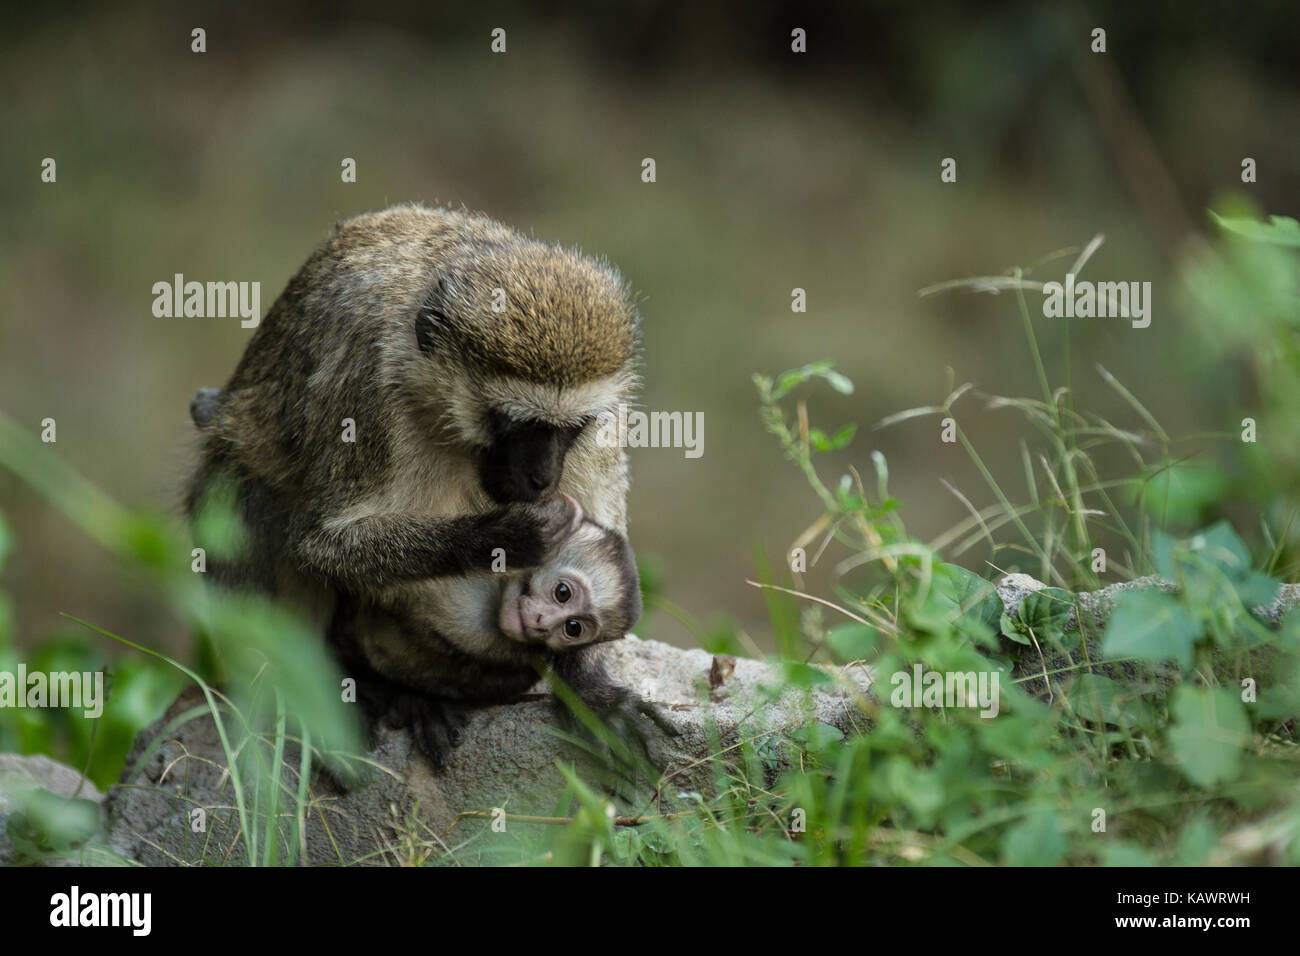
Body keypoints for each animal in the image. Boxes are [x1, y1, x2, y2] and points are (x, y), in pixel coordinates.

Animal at [185, 204, 675, 769]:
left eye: (571, 427)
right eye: (514, 423)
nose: (541, 476)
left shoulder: (603, 426)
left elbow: (605, 536)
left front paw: (590, 687)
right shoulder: (368, 391)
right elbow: (319, 544)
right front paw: (503, 537)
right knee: (246, 488)